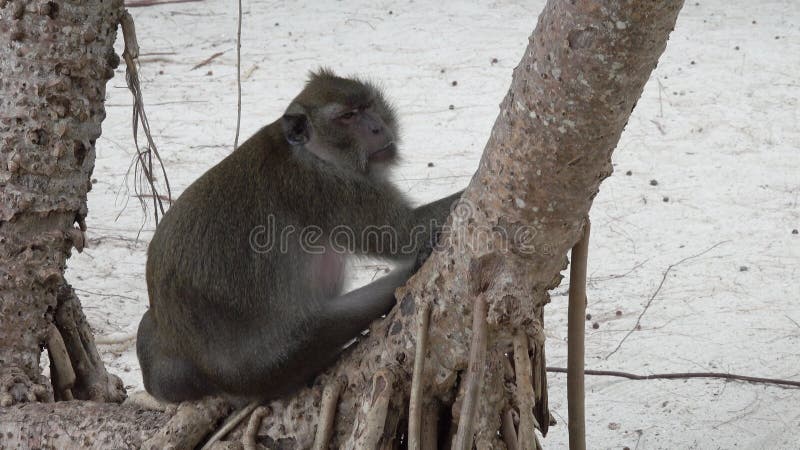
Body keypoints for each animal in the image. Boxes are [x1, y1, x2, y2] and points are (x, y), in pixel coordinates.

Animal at [136, 69, 463, 403]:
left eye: (368, 106)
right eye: (347, 116)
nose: (376, 126)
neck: (314, 153)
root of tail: (211, 373)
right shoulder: (333, 191)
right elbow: (406, 232)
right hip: (279, 358)